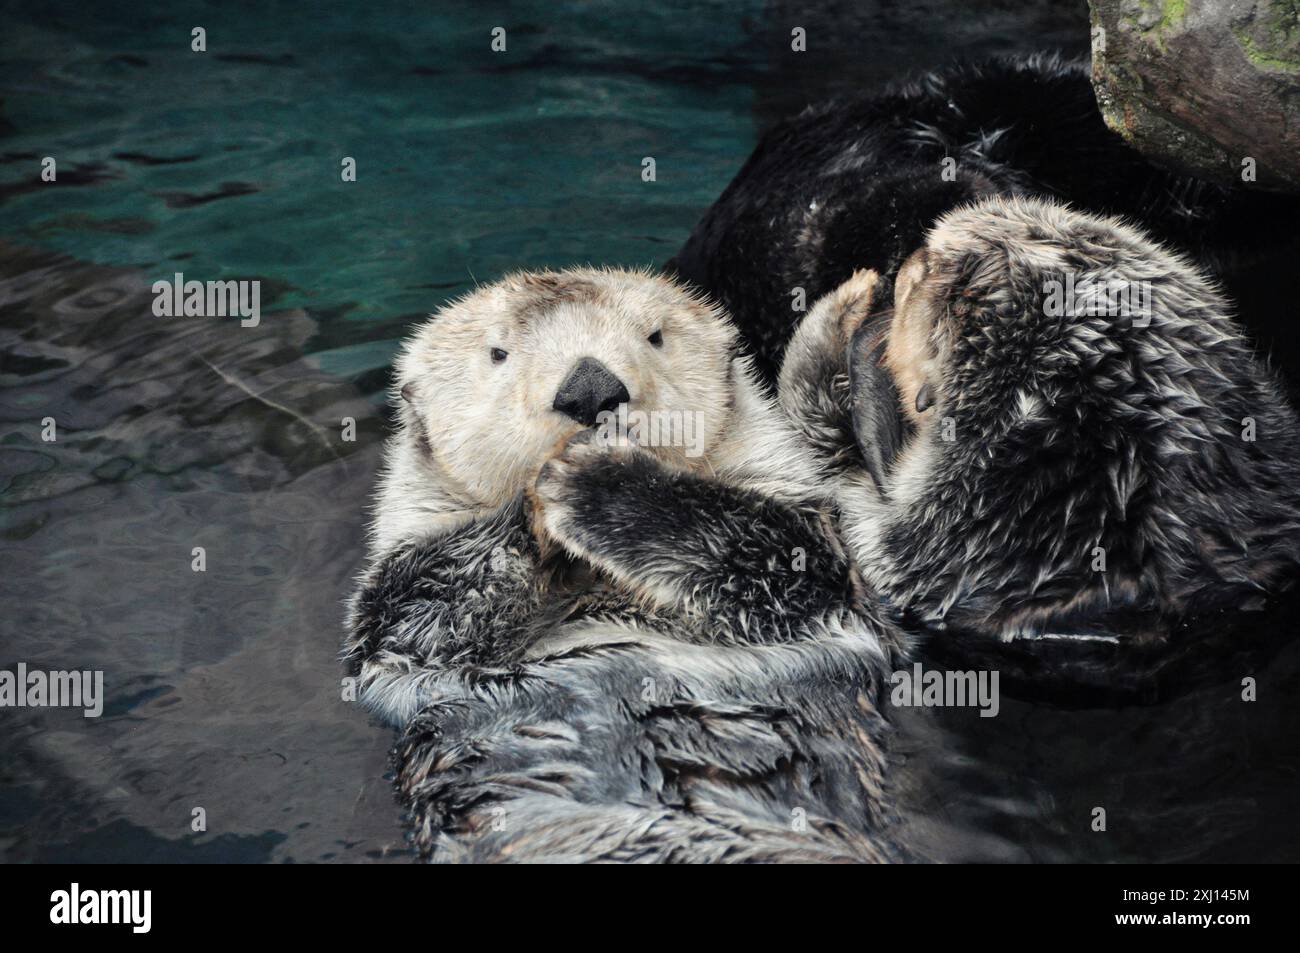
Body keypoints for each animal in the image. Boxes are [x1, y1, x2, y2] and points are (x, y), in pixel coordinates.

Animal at [344, 268, 910, 862]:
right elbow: (419, 611)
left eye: (655, 336)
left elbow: (780, 559)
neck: (592, 576)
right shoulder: (399, 621)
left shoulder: (823, 565)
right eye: (497, 353)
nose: (590, 388)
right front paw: (532, 505)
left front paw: (598, 482)